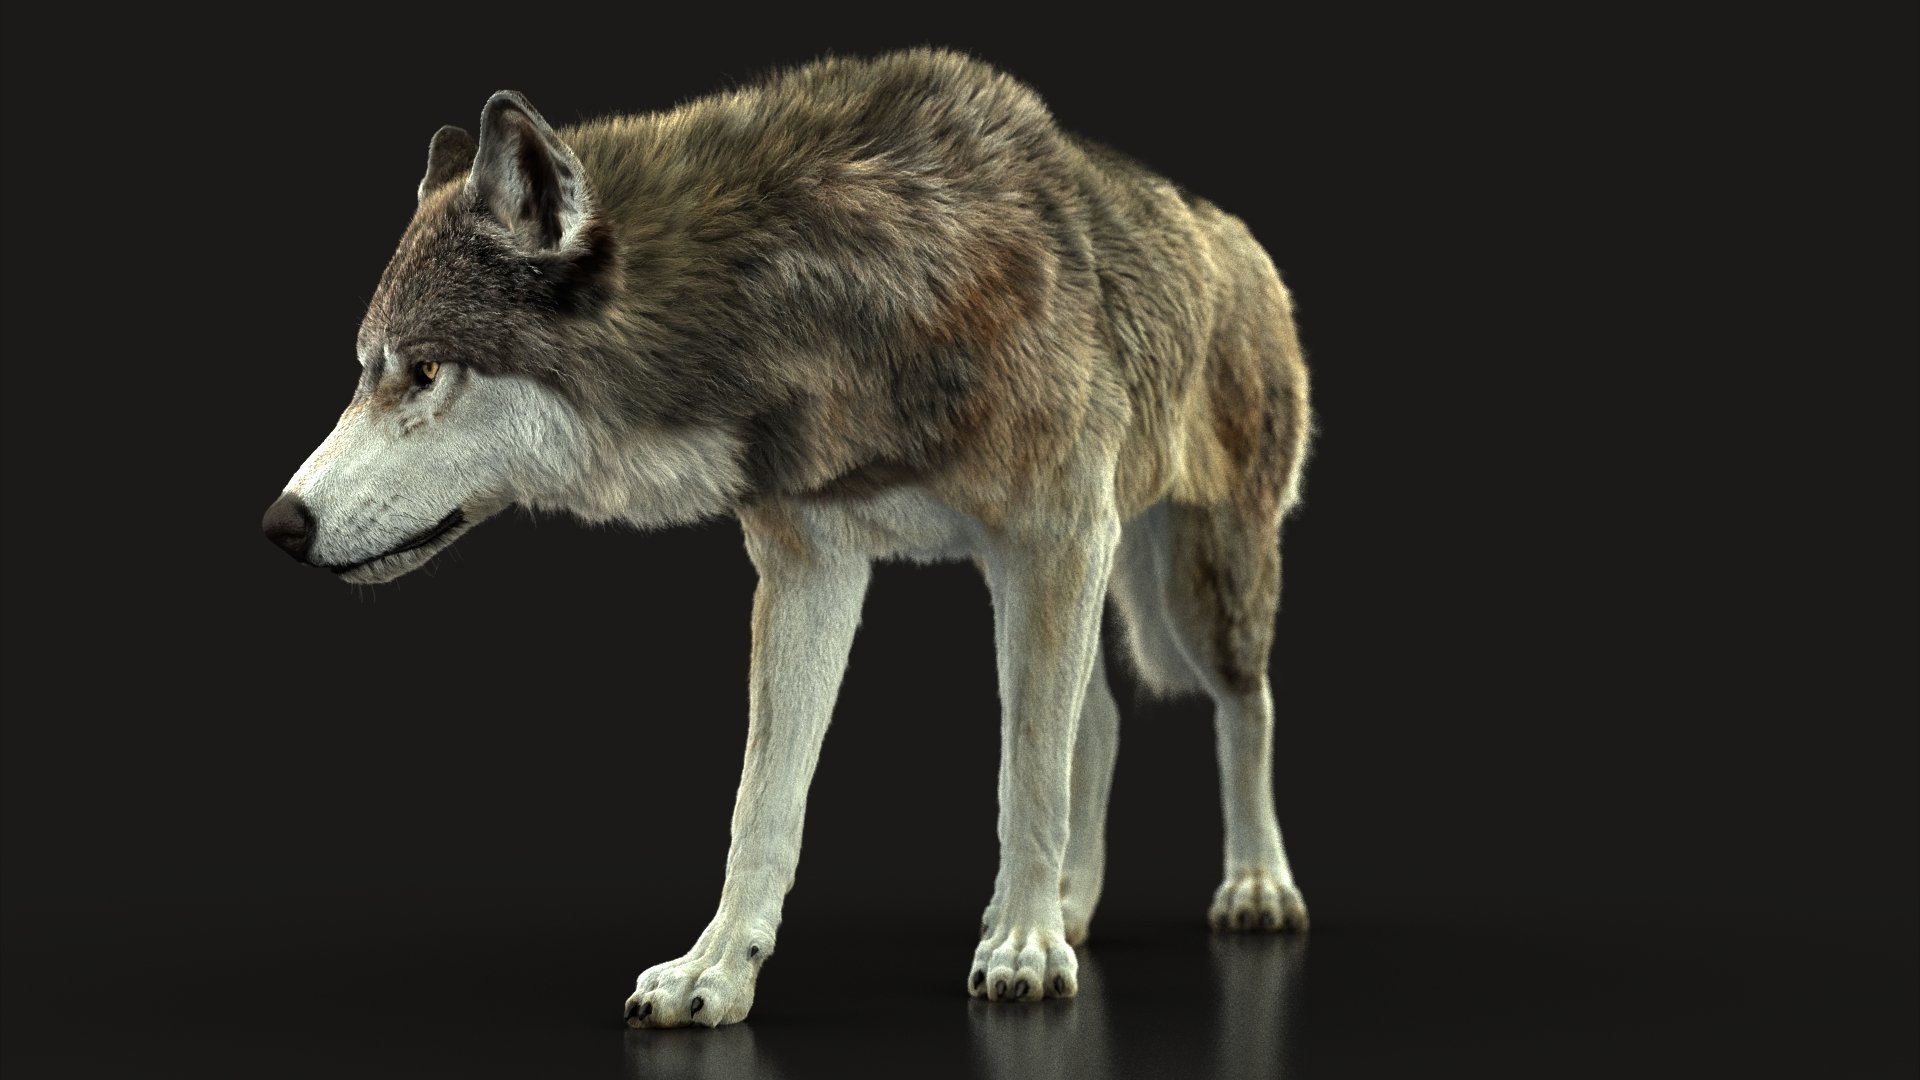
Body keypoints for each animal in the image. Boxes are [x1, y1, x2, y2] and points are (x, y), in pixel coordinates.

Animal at [262, 48, 1314, 1027]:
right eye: (364, 368)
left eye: (425, 369)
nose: (279, 524)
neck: (839, 306)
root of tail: (1248, 247)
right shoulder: (812, 566)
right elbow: (762, 804)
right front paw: (717, 970)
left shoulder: (1056, 535)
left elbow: (1026, 773)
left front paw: (1021, 950)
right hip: (1036, 576)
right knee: (1097, 721)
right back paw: (1072, 907)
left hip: (1182, 581)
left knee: (1242, 704)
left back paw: (1249, 888)